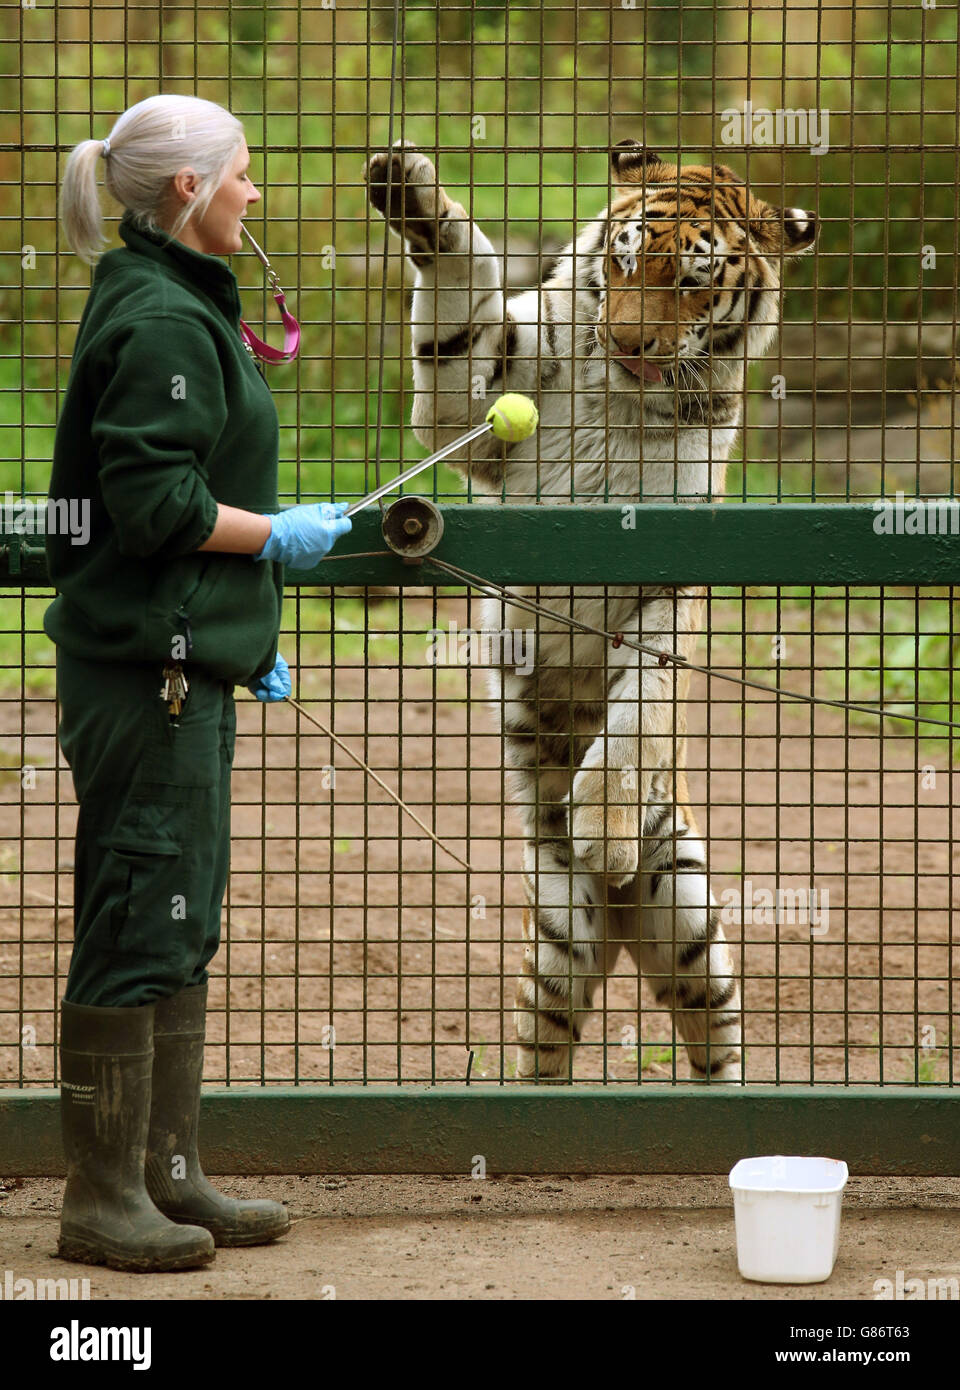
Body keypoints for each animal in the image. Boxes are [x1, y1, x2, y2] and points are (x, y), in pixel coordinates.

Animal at [366, 138, 816, 1081]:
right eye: (622, 261)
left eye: (692, 284)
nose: (630, 339)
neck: (622, 392)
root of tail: (614, 927)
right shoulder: (477, 401)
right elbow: (458, 312)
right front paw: (415, 200)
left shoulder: (668, 571)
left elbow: (639, 707)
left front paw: (604, 826)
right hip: (556, 945)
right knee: (548, 1052)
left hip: (688, 917)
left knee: (716, 1047)